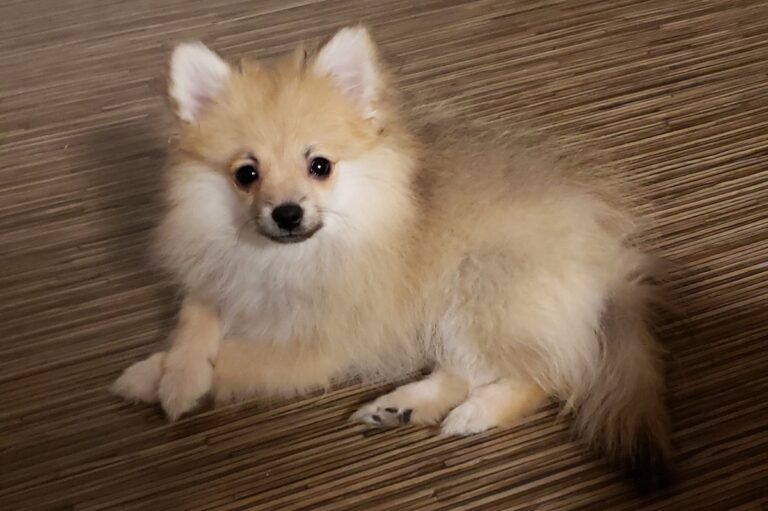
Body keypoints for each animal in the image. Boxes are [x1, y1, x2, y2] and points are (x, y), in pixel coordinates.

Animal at [112, 26, 673, 491]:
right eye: (245, 174)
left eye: (320, 166)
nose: (287, 213)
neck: (284, 260)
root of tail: (609, 255)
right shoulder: (220, 276)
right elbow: (195, 320)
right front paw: (178, 373)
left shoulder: (314, 346)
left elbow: (235, 359)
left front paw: (150, 379)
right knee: (466, 370)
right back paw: (399, 407)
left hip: (479, 290)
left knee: (541, 375)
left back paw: (474, 415)